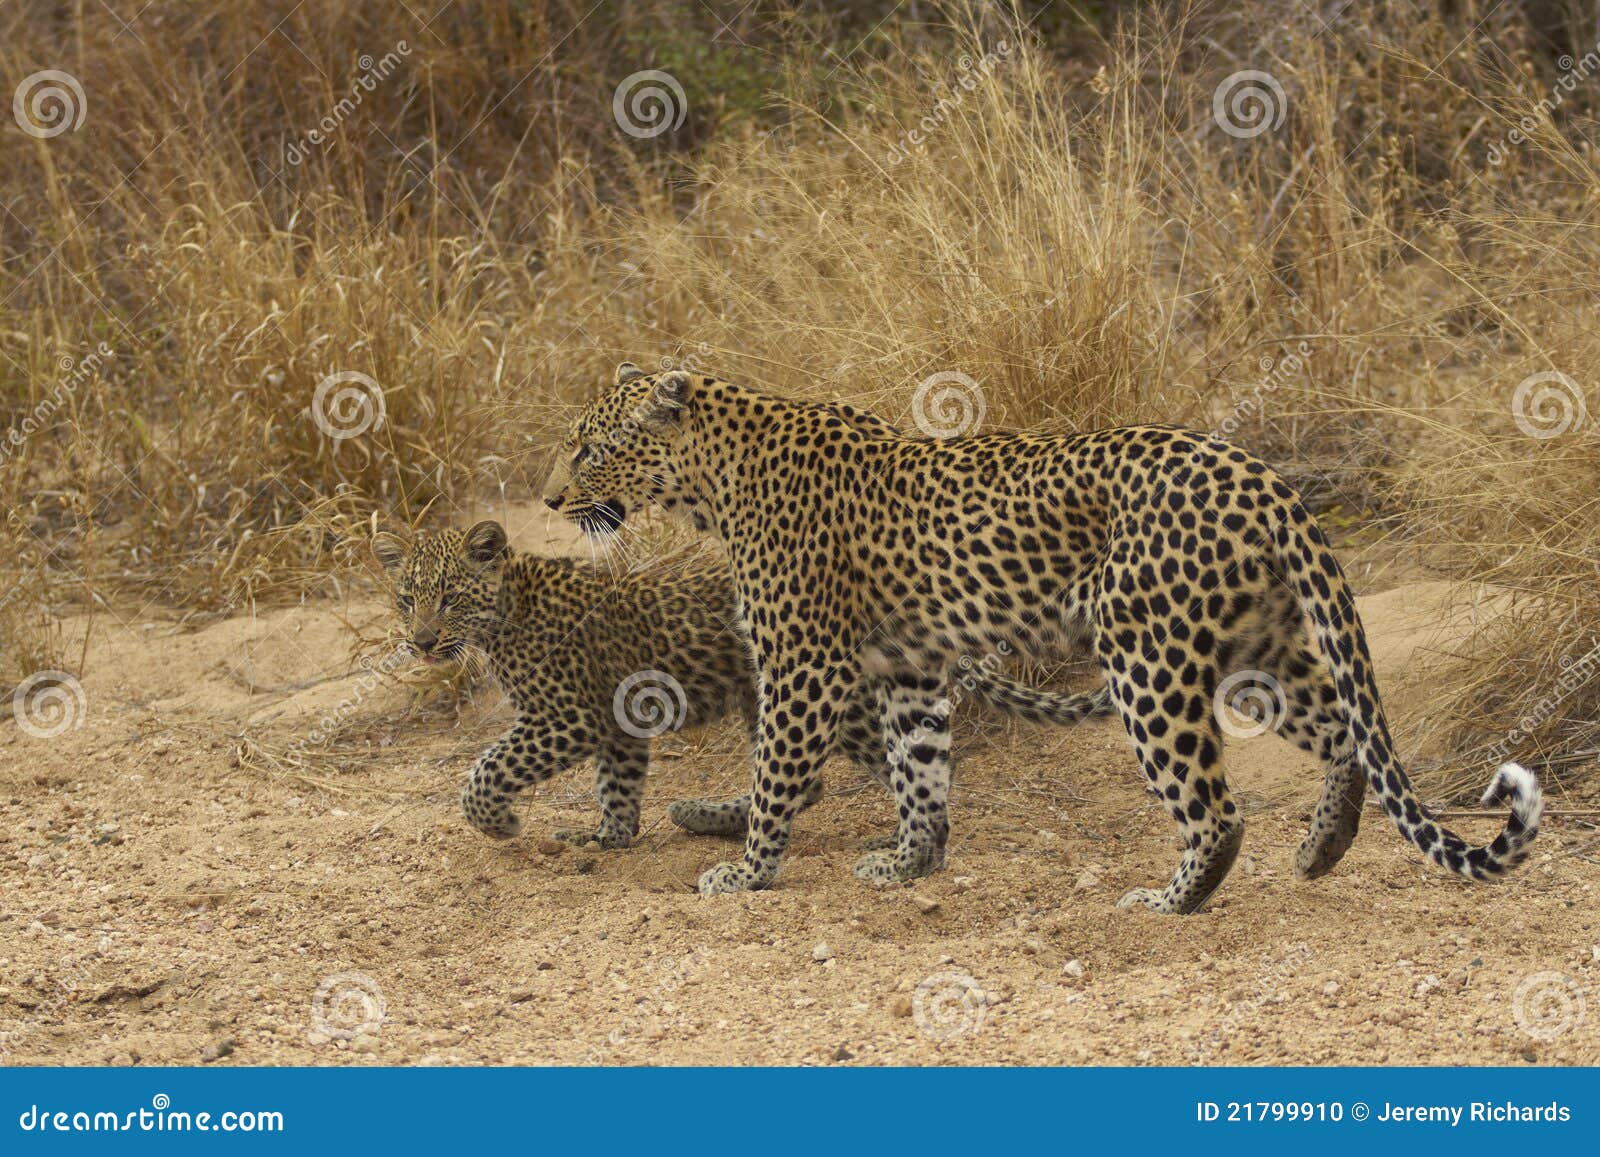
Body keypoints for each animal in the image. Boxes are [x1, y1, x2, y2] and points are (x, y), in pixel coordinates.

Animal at [373, 520, 1111, 850]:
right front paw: (610, 836)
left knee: (876, 766)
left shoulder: (567, 718)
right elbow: (617, 785)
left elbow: (485, 769)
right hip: (770, 696)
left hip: (821, 696)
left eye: (449, 598)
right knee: (799, 779)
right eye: (407, 599)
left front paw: (500, 822)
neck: (505, 614)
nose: (423, 640)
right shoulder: (617, 722)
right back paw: (710, 817)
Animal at [542, 361, 1543, 913]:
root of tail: (1254, 469)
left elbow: (775, 775)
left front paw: (747, 871)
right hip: (1259, 649)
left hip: (1148, 657)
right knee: (1345, 735)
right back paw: (1322, 847)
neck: (712, 478)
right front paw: (911, 861)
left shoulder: (803, 663)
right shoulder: (909, 667)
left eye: (590, 449)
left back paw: (1168, 902)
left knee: (1216, 809)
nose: (549, 500)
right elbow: (920, 771)